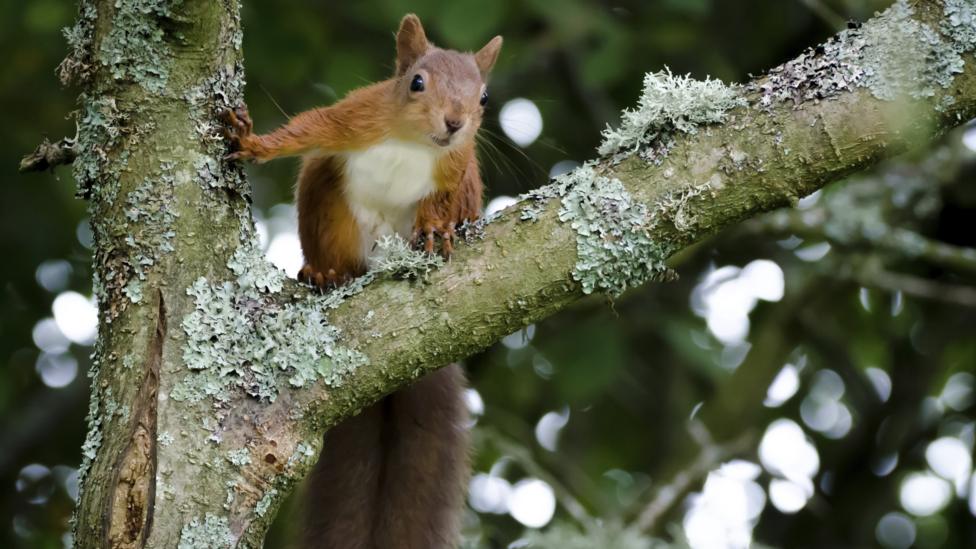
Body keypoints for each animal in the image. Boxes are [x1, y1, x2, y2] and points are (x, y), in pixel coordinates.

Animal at [223, 14, 502, 549]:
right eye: (417, 82)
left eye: (483, 98)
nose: (455, 123)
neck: (414, 143)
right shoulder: (356, 117)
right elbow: (309, 129)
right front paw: (253, 143)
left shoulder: (455, 167)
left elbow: (441, 201)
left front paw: (436, 230)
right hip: (326, 198)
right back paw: (325, 273)